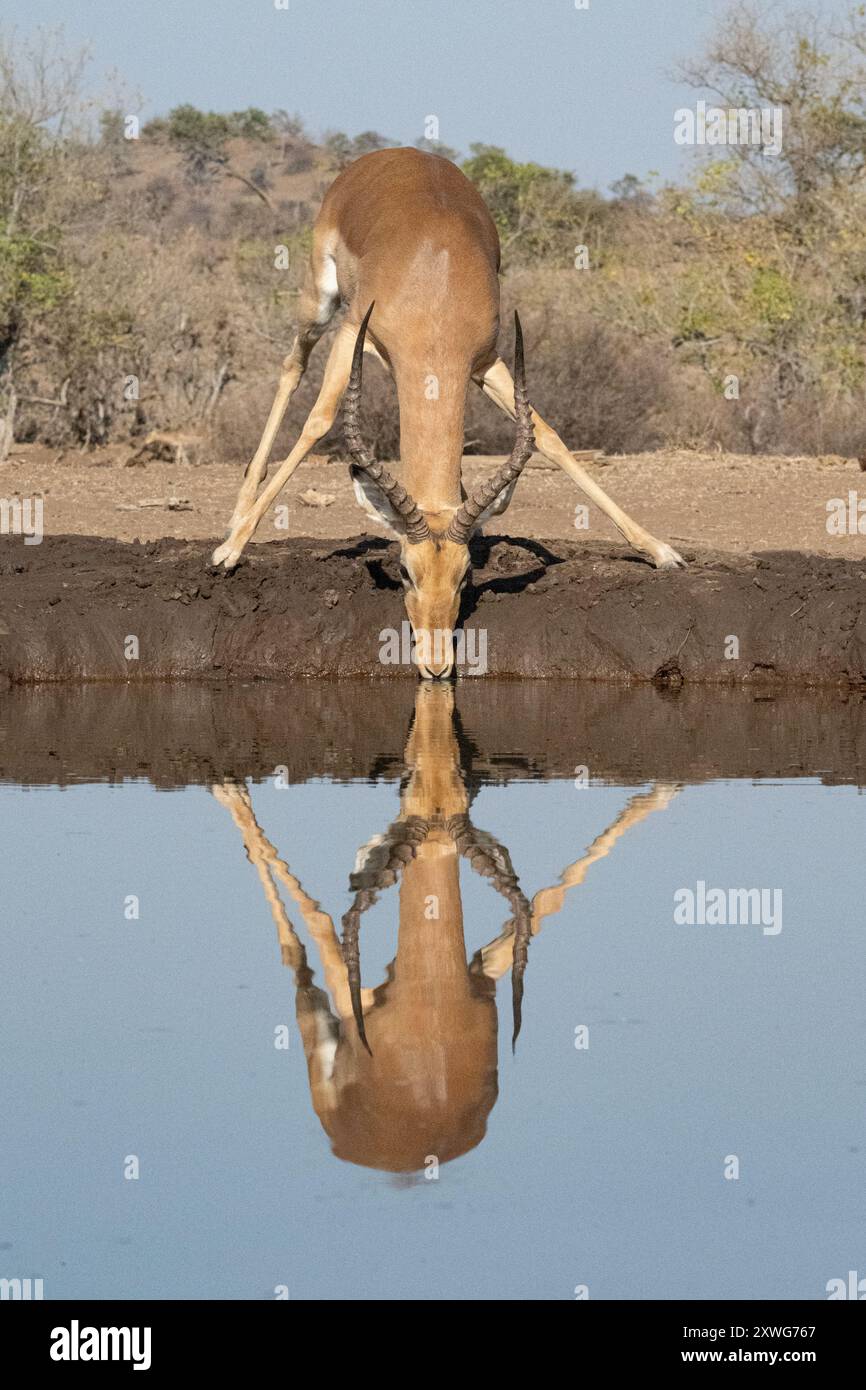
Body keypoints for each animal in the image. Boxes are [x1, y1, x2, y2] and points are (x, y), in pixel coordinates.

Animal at [212, 147, 685, 677]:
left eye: (465, 575)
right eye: (403, 571)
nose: (436, 664)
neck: (435, 293)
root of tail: (394, 154)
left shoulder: (487, 361)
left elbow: (548, 436)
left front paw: (659, 550)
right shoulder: (354, 332)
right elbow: (319, 421)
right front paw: (229, 551)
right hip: (318, 301)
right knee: (292, 367)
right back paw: (235, 521)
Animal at [212, 682, 680, 1174]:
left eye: (465, 781)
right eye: (405, 781)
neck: (431, 1014)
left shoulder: (484, 978)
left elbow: (540, 906)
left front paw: (668, 785)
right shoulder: (356, 1001)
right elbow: (323, 926)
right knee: (300, 955)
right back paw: (227, 786)